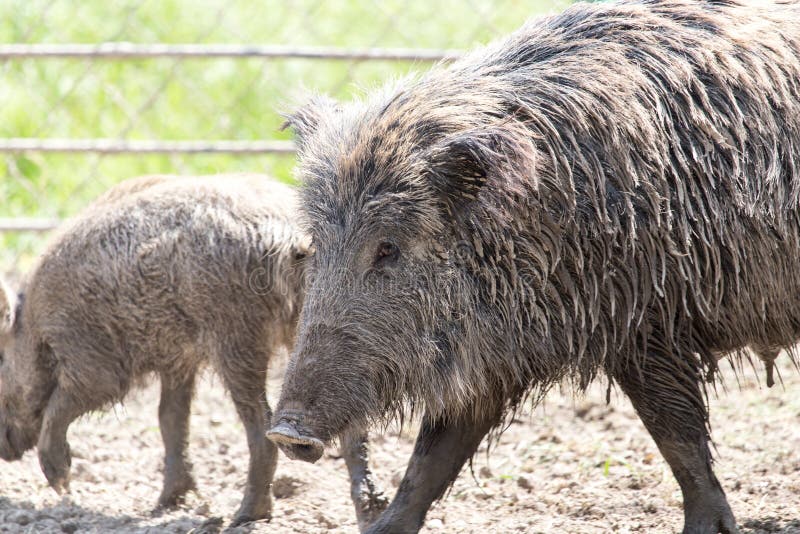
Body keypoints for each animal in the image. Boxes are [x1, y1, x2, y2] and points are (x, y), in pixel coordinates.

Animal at [267, 1, 800, 533]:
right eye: (317, 243)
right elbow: (434, 453)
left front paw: (708, 526)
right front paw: (383, 526)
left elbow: (677, 435)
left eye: (387, 248)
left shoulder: (649, 325)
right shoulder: (493, 355)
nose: (286, 431)